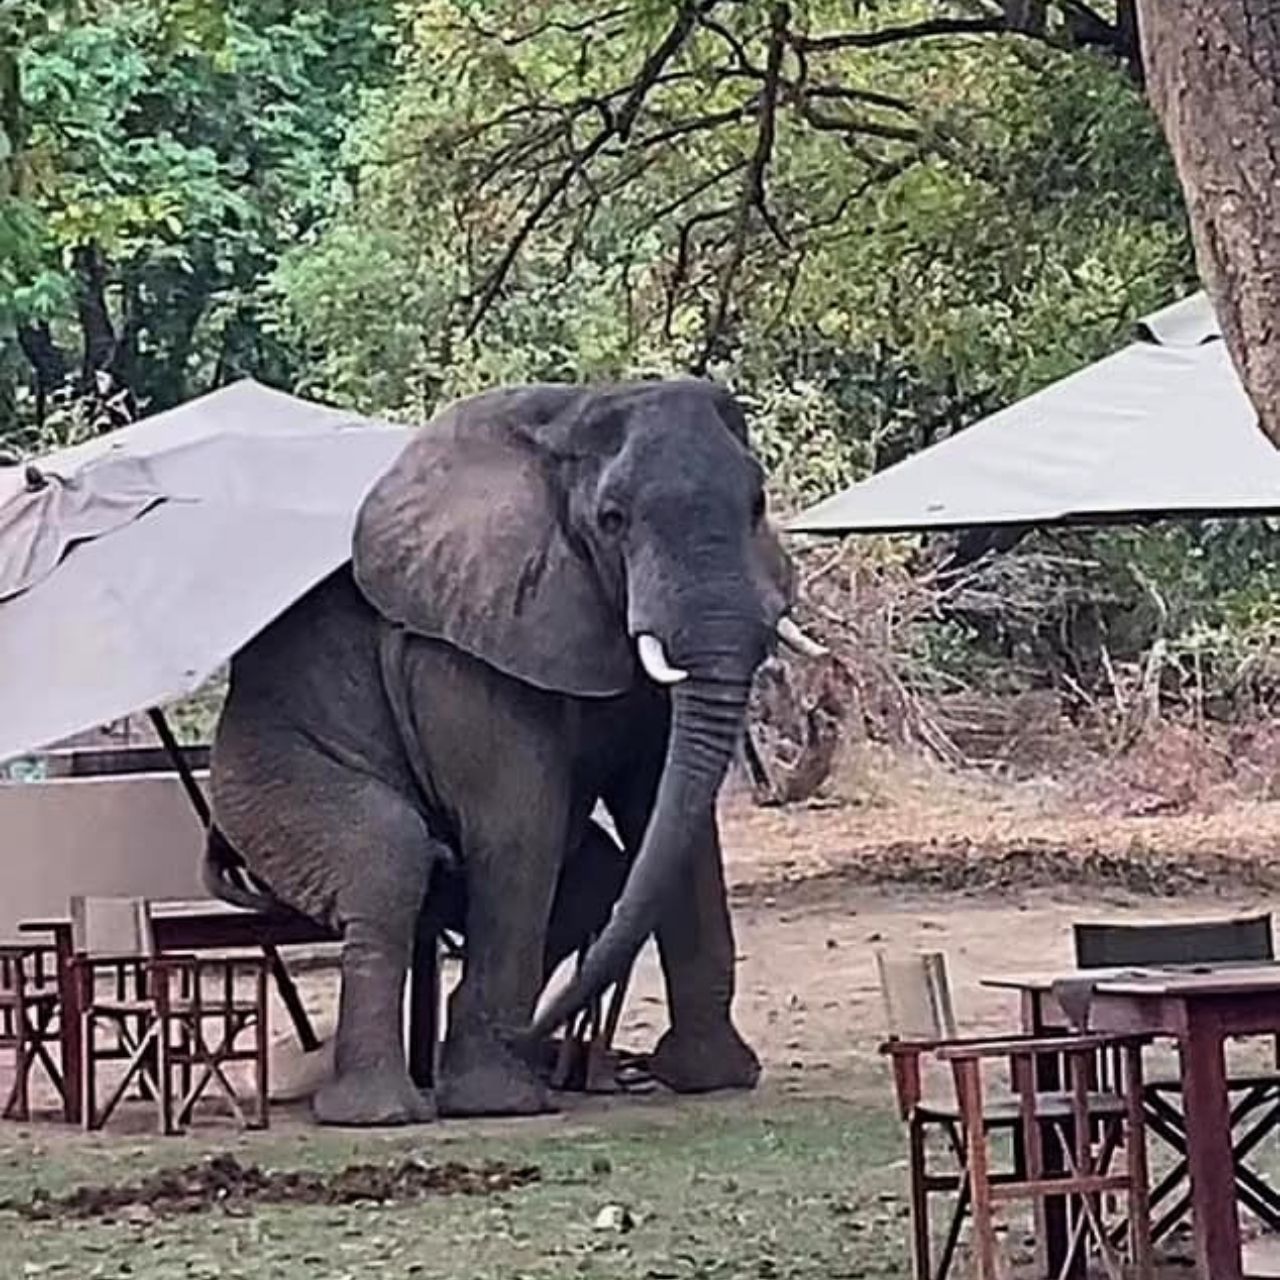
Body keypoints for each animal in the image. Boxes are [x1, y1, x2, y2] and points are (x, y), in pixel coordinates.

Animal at [206, 377, 821, 1125]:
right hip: (260, 780)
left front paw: (712, 1078)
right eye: (612, 519)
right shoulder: (466, 648)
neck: (570, 419)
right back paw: (384, 1110)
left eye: (758, 504)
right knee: (390, 856)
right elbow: (520, 826)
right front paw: (495, 1102)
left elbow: (669, 817)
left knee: (594, 877)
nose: (543, 1040)